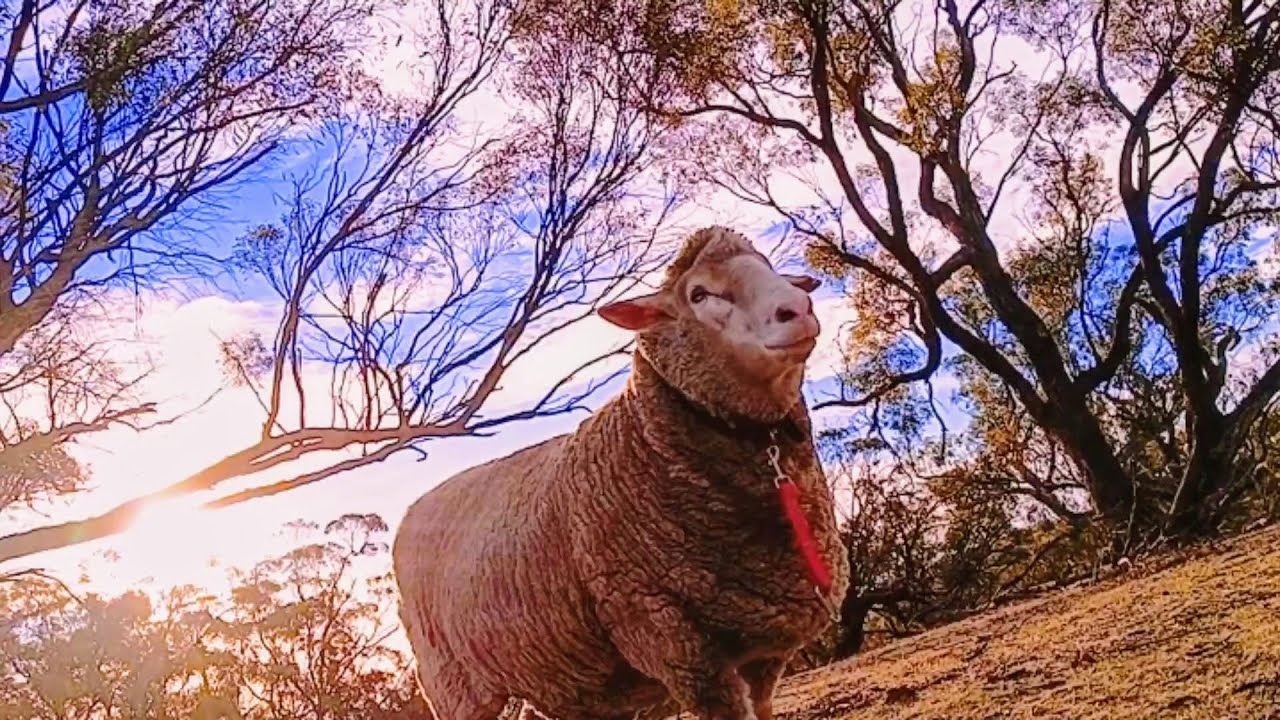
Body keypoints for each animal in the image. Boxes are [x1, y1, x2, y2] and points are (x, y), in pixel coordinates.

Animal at [392, 226, 851, 720]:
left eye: (768, 267)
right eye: (699, 294)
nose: (797, 309)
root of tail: (412, 511)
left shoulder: (765, 654)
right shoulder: (674, 637)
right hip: (454, 686)